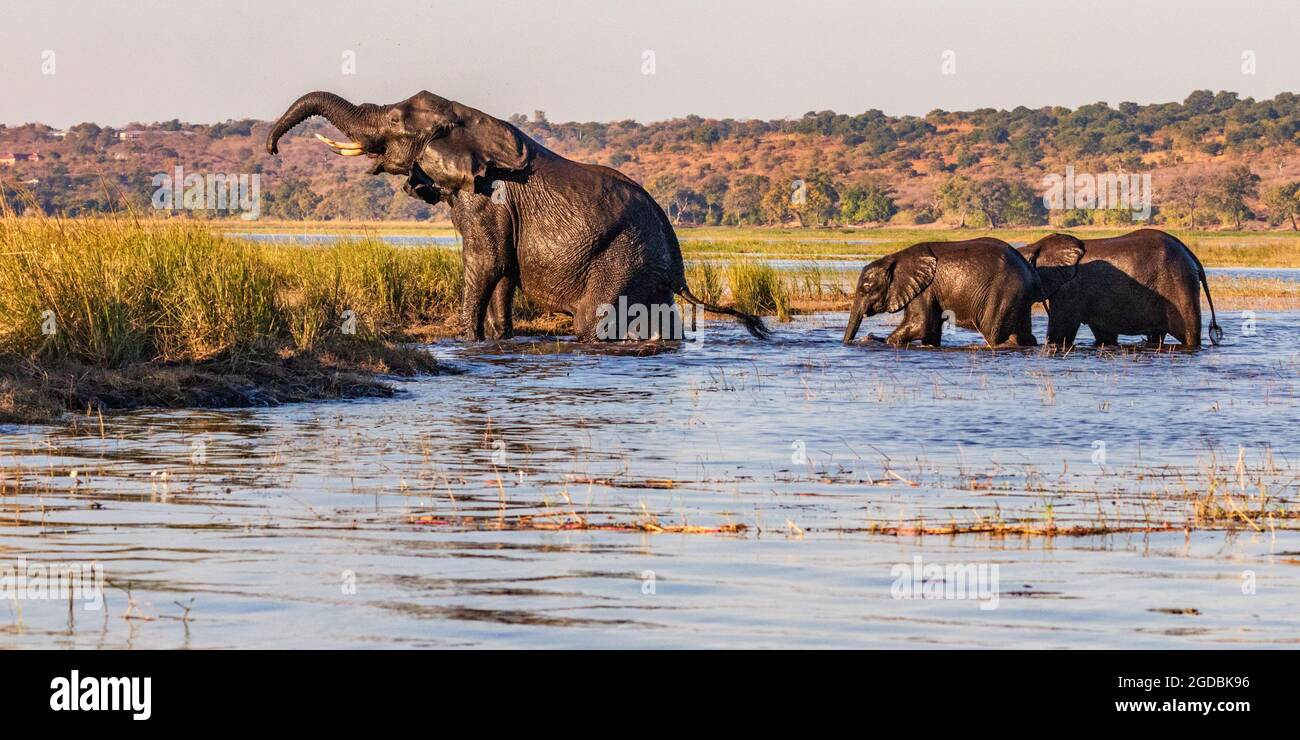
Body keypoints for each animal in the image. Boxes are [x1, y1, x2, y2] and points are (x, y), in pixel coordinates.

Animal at [266, 91, 768, 342]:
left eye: (394, 123)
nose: (271, 148)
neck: (469, 119)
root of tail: (677, 260)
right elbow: (503, 270)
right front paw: (497, 339)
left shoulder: (485, 199)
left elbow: (484, 263)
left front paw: (468, 342)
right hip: (648, 269)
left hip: (624, 258)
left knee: (594, 321)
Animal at [843, 238, 1040, 347]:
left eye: (867, 290)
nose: (848, 343)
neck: (895, 258)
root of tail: (1032, 273)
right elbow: (930, 330)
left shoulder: (924, 289)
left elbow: (921, 324)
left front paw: (880, 341)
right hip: (1018, 296)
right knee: (1025, 335)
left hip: (1004, 290)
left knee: (992, 333)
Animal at [1017, 229, 1222, 348]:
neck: (1037, 246)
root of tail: (1191, 255)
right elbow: (1104, 336)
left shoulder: (1070, 290)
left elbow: (1060, 334)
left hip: (1181, 285)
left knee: (1189, 334)